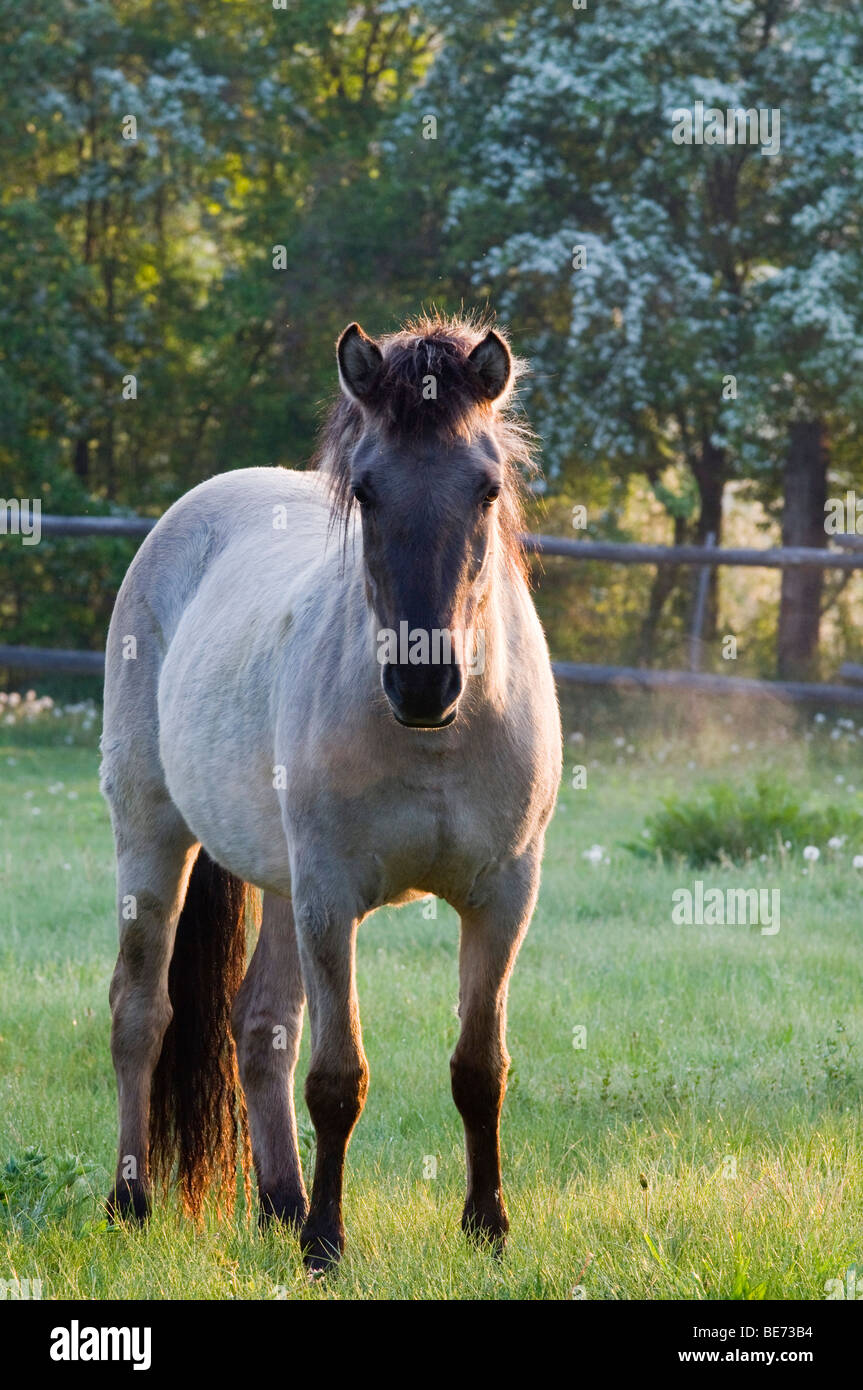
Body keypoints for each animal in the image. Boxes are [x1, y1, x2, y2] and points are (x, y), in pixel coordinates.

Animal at [99, 313, 562, 1270]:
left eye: (487, 488)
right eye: (368, 491)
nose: (423, 684)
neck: (434, 740)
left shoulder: (503, 897)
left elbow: (478, 1069)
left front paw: (487, 1228)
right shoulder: (330, 896)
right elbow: (338, 1079)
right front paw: (325, 1244)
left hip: (278, 881)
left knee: (260, 1026)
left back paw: (279, 1200)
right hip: (154, 837)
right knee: (140, 1012)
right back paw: (133, 1200)